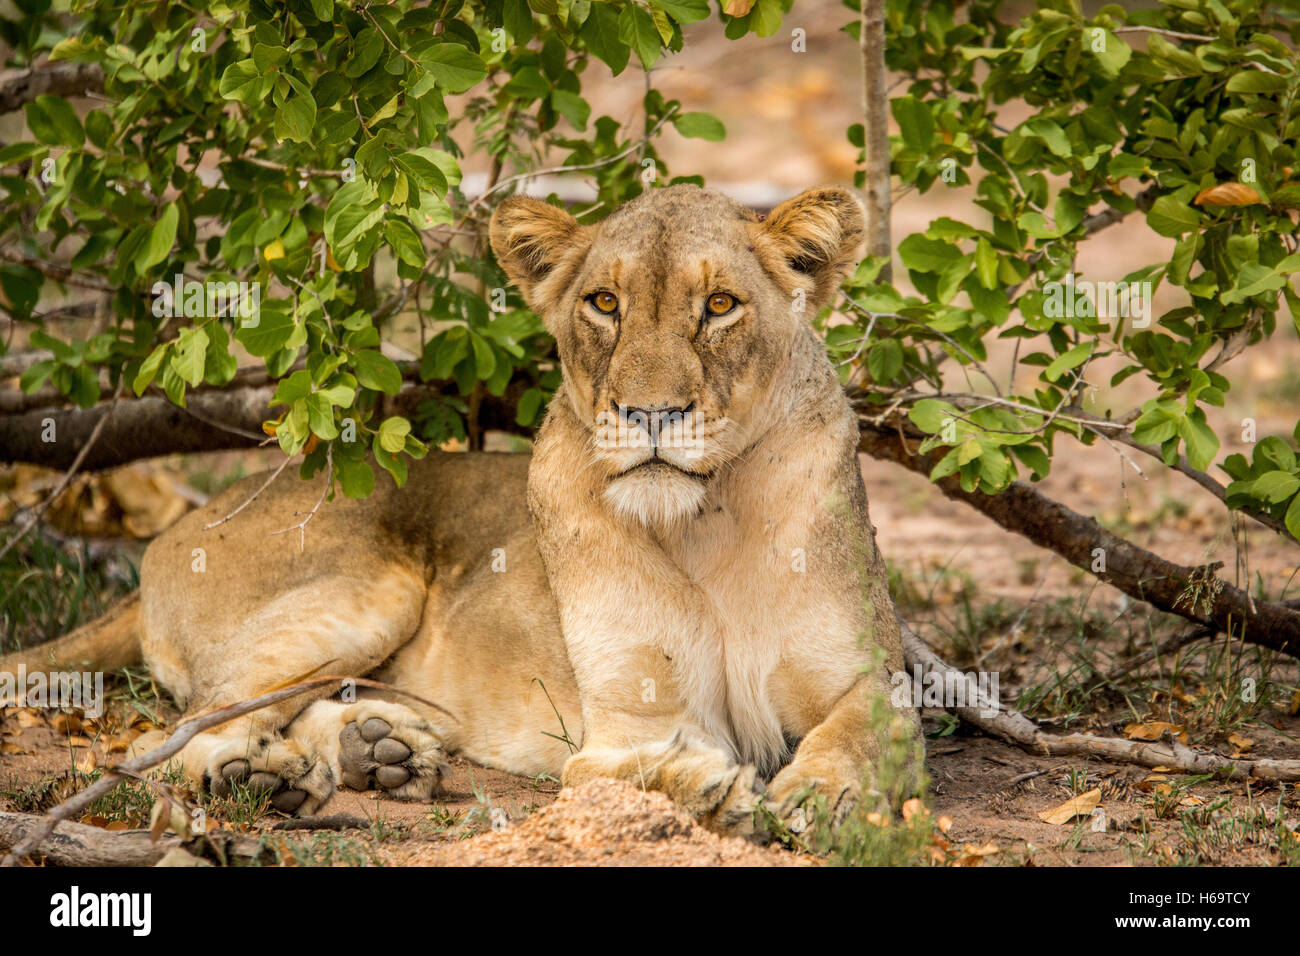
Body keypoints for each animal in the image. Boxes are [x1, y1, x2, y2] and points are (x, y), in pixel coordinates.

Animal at [1, 184, 922, 836]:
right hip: (370, 591)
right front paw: (715, 794)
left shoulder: (871, 676)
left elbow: (861, 735)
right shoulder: (626, 721)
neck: (705, 523)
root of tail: (176, 531)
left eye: (721, 306)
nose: (650, 414)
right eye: (605, 304)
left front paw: (819, 796)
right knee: (165, 740)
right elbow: (620, 771)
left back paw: (376, 751)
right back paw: (261, 776)